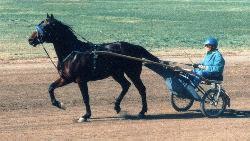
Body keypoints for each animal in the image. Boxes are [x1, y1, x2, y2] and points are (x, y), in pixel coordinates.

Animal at [28, 13, 167, 121]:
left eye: (45, 26)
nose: (30, 39)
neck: (73, 52)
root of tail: (135, 47)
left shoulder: (81, 80)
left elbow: (85, 98)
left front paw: (85, 115)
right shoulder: (66, 78)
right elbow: (51, 87)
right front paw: (59, 104)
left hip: (132, 72)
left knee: (141, 89)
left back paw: (142, 111)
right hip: (116, 73)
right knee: (126, 85)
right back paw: (117, 106)